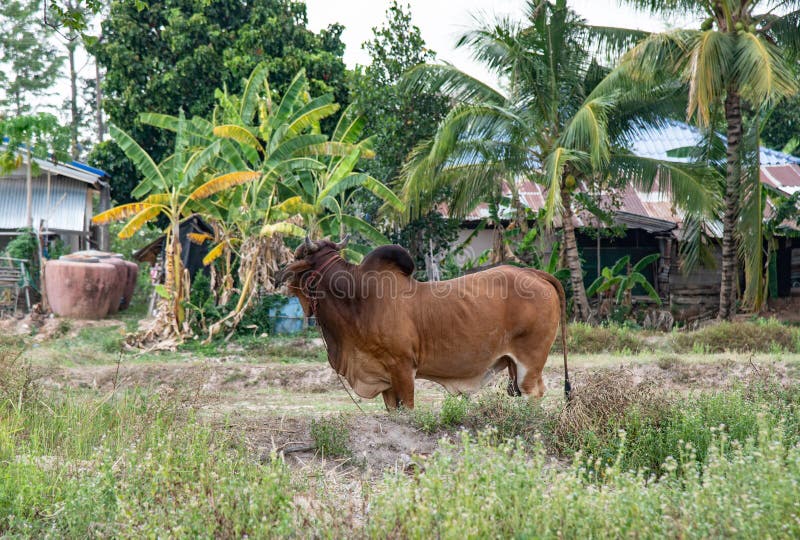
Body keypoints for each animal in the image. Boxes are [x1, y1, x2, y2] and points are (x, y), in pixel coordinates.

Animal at [279, 236, 570, 410]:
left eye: (298, 258)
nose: (279, 277)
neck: (358, 300)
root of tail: (534, 273)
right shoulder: (385, 376)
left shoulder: (403, 368)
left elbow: (407, 408)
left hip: (529, 361)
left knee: (534, 393)